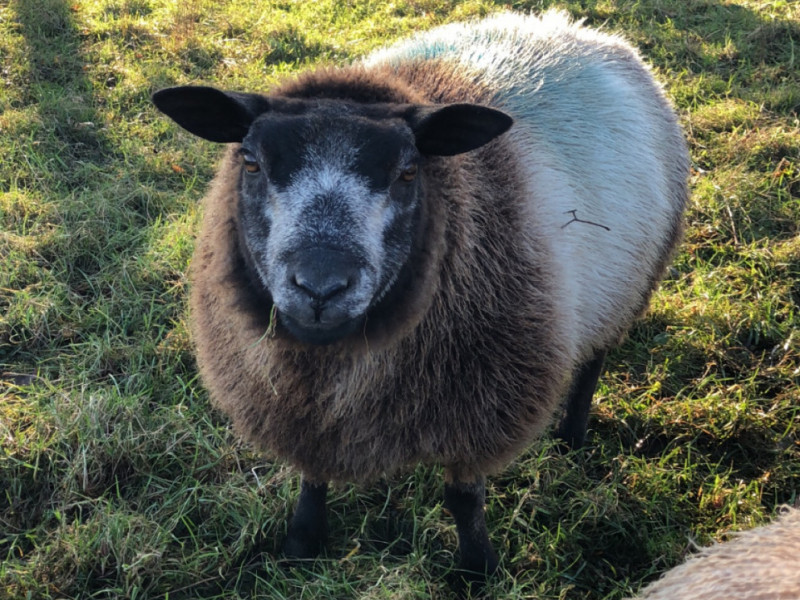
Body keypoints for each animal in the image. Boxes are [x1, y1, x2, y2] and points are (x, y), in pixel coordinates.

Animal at [152, 10, 689, 578]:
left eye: (409, 171)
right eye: (251, 162)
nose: (320, 286)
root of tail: (578, 28)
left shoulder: (482, 405)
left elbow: (464, 499)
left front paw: (477, 570)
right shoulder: (301, 410)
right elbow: (312, 474)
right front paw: (301, 542)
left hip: (629, 285)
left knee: (594, 361)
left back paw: (572, 435)